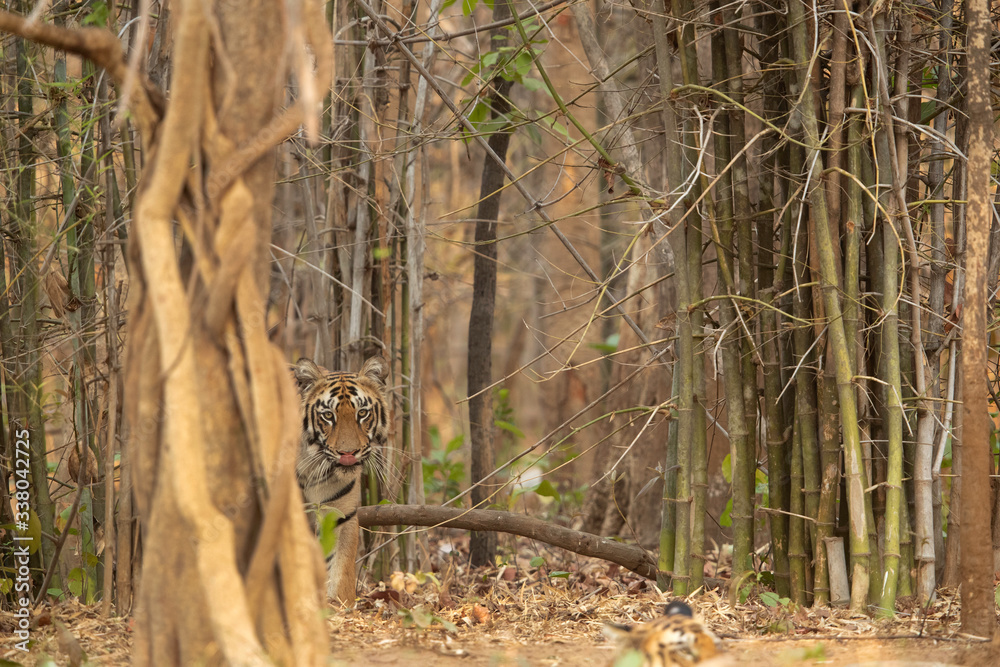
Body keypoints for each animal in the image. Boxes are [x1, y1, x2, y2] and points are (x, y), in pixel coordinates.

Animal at [292, 355, 389, 604]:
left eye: (362, 413)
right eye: (328, 415)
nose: (348, 453)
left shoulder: (339, 514)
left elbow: (340, 569)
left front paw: (338, 605)